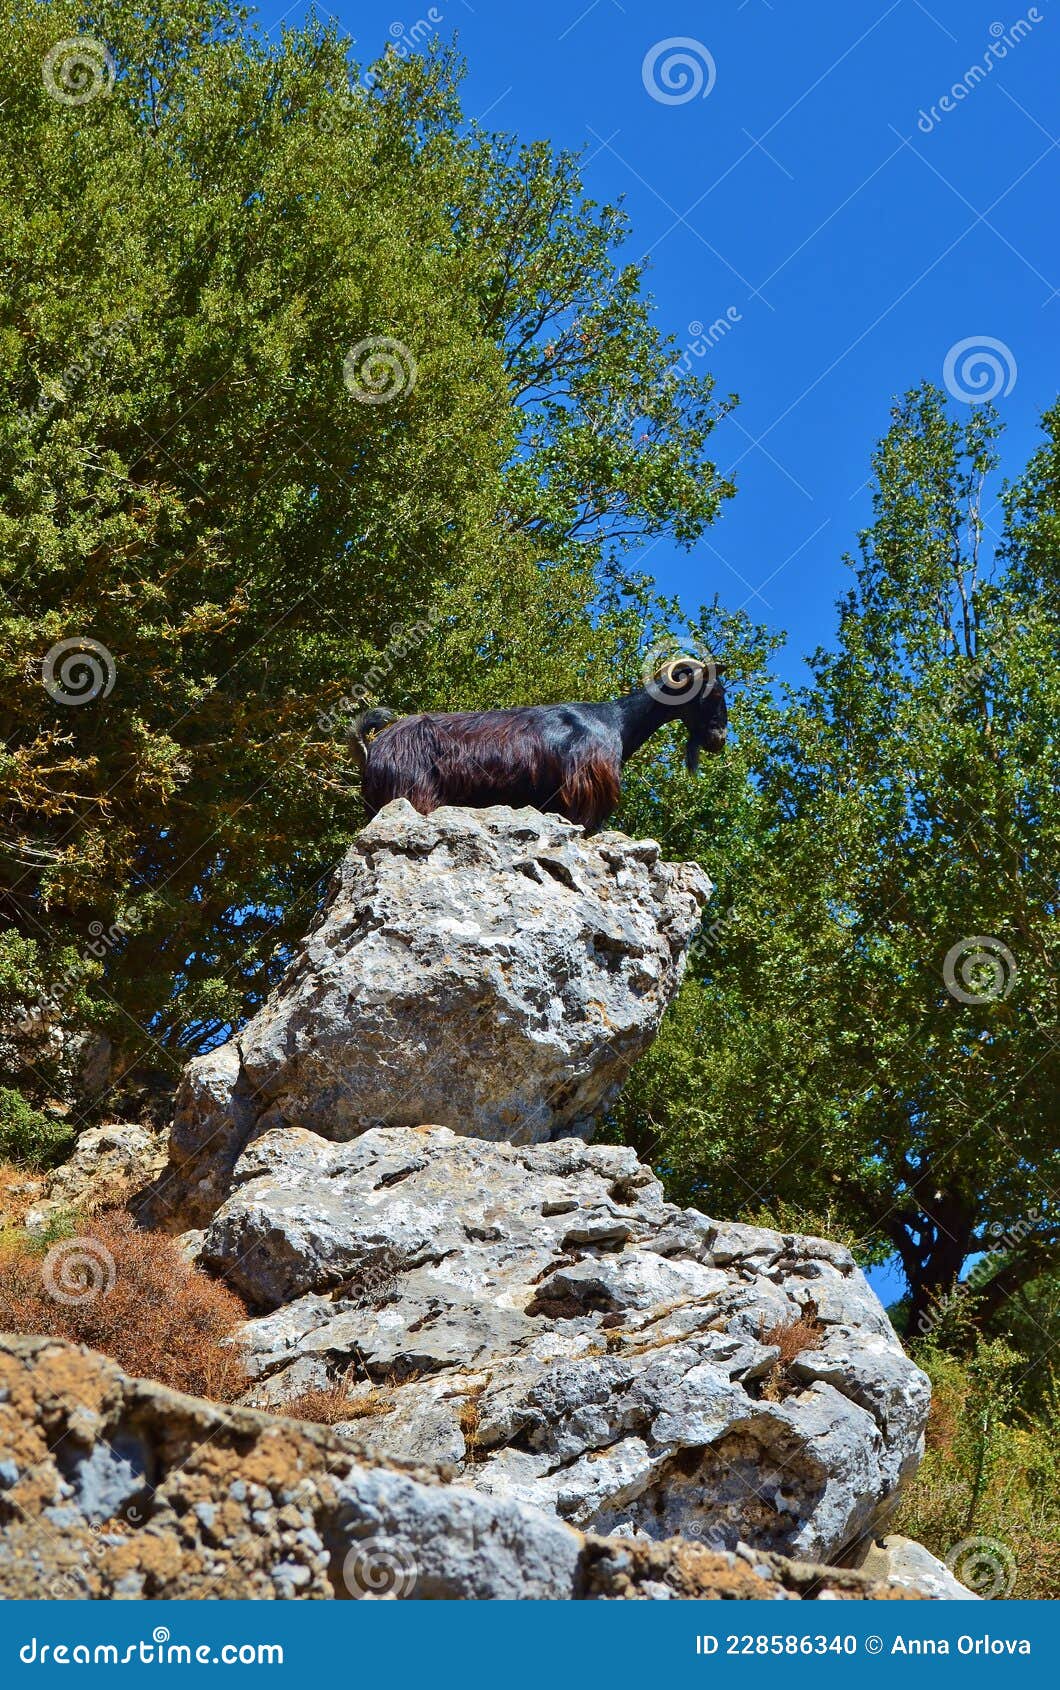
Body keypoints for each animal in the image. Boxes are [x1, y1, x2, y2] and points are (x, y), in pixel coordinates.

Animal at [347, 658, 727, 831]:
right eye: (713, 692)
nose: (719, 738)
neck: (615, 722)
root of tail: (374, 747)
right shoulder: (584, 794)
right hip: (414, 792)